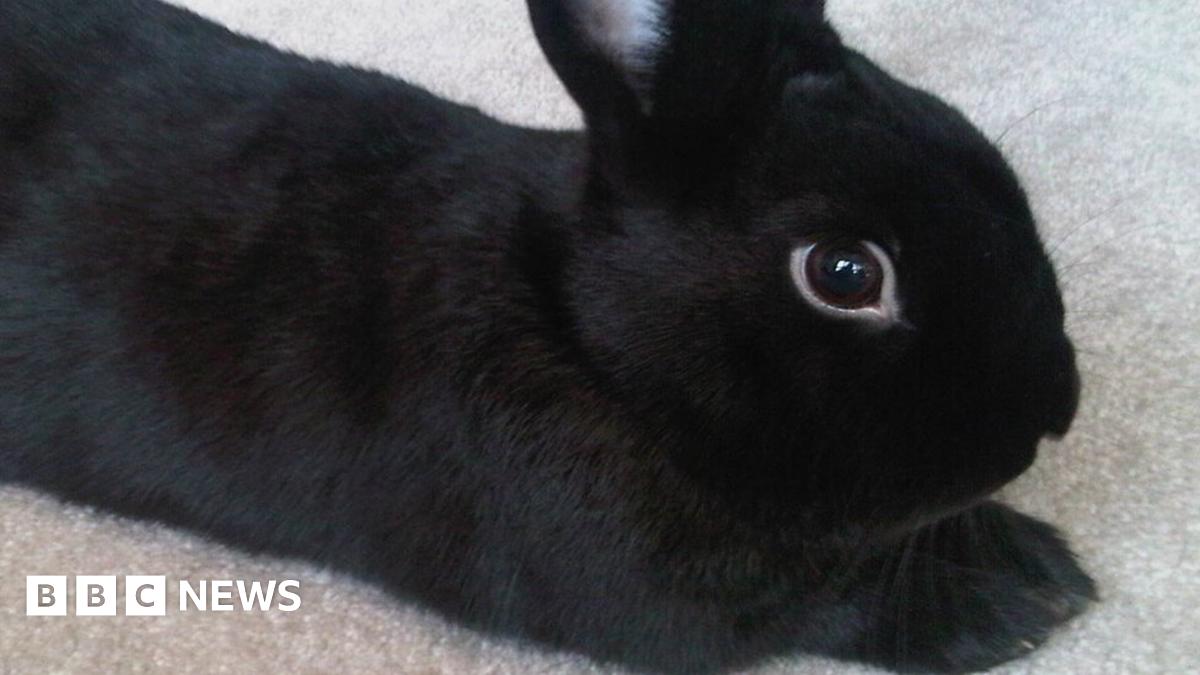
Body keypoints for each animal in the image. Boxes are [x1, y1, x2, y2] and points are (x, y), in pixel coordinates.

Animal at [0, 0, 1096, 672]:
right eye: (844, 273)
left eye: (984, 156)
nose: (1056, 410)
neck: (587, 337)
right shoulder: (668, 602)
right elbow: (828, 601)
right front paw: (1029, 593)